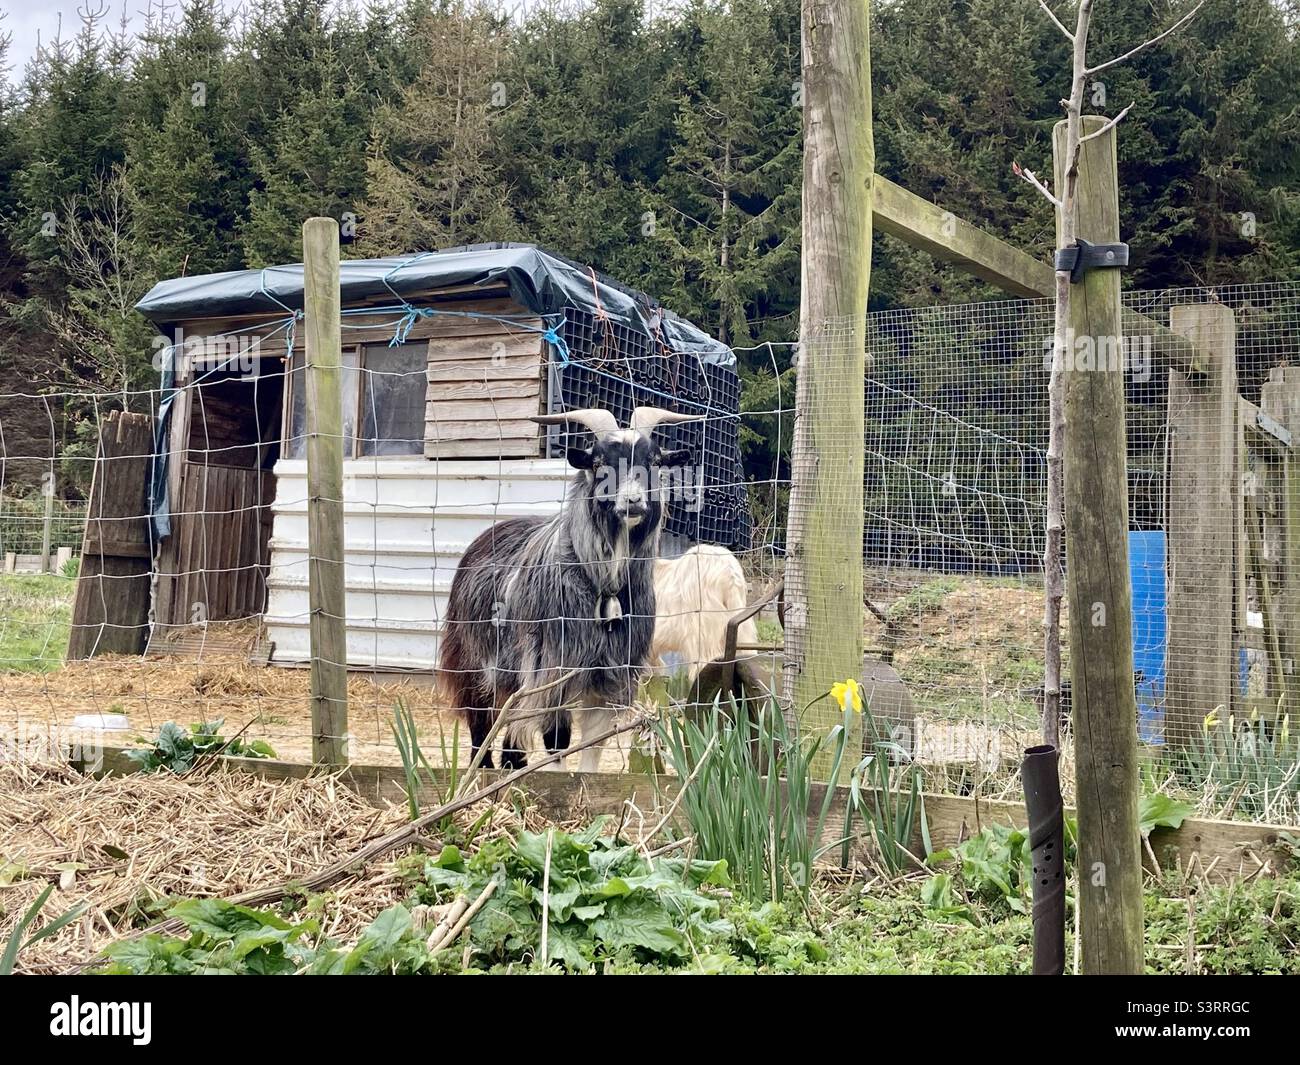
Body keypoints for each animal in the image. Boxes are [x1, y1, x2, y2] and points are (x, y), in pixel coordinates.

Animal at [438, 405, 701, 772]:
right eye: (598, 462)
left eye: (655, 460)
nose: (633, 501)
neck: (604, 587)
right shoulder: (553, 669)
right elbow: (557, 741)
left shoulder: (608, 679)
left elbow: (591, 749)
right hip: (473, 663)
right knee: (481, 727)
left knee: (510, 729)